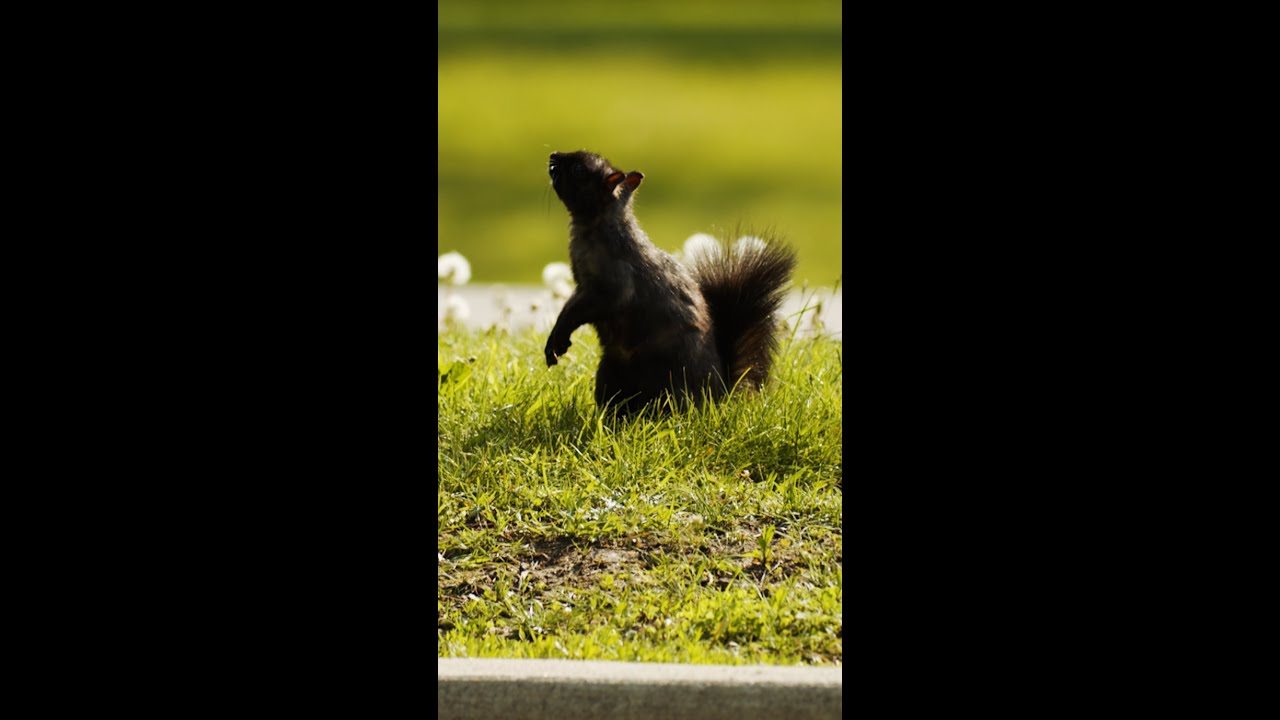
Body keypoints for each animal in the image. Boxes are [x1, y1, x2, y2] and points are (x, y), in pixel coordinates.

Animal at [545, 149, 797, 416]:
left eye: (579, 170)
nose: (553, 156)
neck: (597, 226)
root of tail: (717, 396)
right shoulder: (581, 288)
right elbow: (569, 308)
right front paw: (555, 342)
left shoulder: (613, 284)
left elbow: (589, 308)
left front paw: (559, 339)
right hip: (610, 372)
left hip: (662, 377)